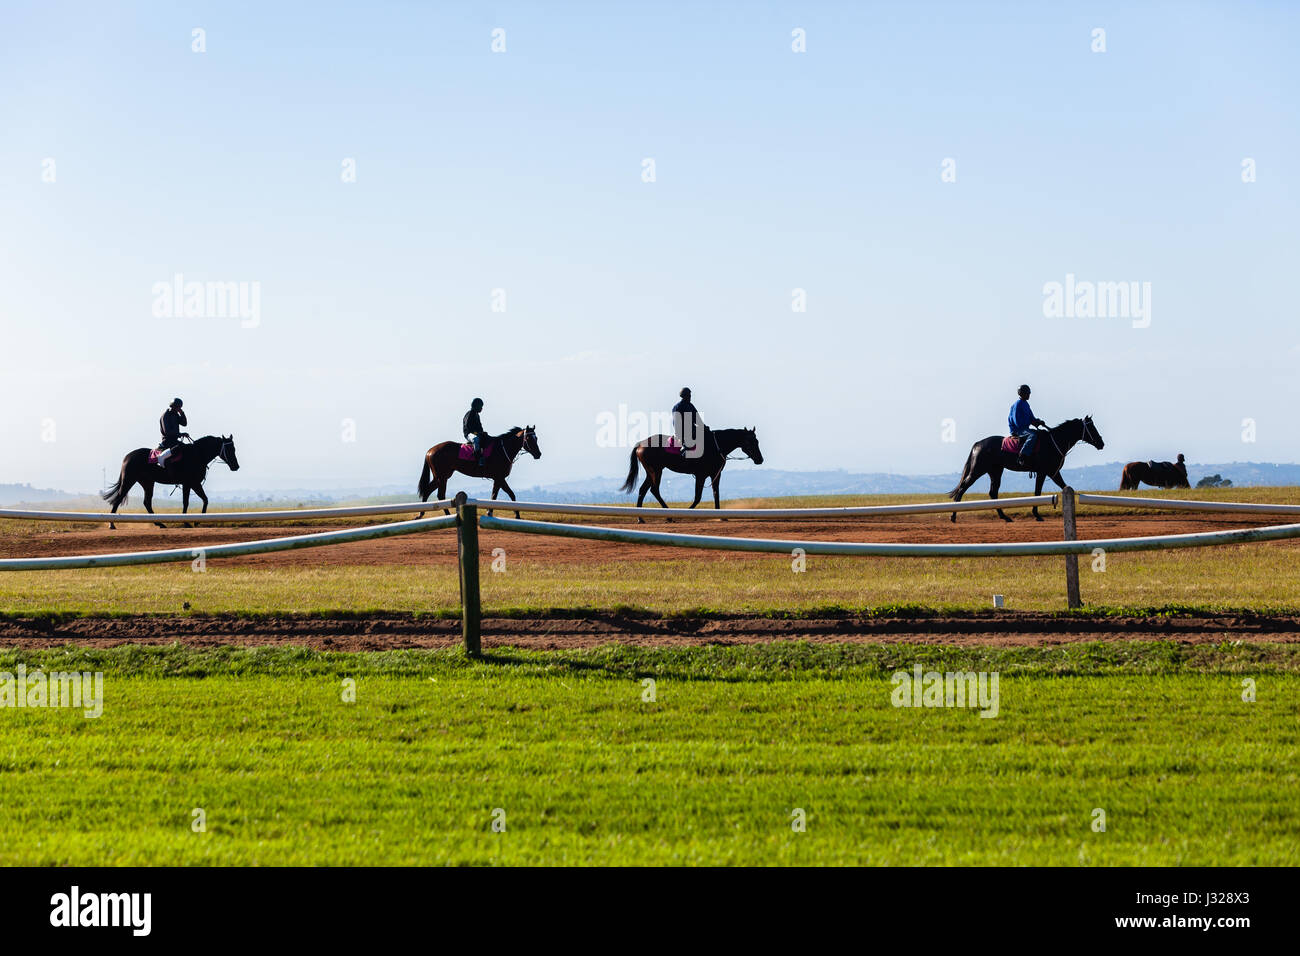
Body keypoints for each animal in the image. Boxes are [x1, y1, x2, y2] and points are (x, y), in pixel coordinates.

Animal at [101, 435, 240, 529]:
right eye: (229, 449)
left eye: (234, 448)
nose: (236, 466)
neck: (198, 454)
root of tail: (127, 456)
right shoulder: (191, 483)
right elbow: (187, 502)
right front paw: (188, 522)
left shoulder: (193, 484)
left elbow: (204, 500)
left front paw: (196, 521)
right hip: (129, 480)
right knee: (119, 498)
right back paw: (111, 524)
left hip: (147, 482)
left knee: (147, 502)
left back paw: (160, 523)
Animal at [619, 427, 764, 522]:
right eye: (750, 441)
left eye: (757, 441)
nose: (760, 459)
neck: (715, 446)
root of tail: (641, 444)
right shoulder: (701, 475)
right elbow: (698, 497)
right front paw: (688, 512)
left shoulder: (715, 474)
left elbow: (716, 494)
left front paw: (721, 516)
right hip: (656, 471)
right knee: (654, 490)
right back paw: (668, 516)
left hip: (651, 472)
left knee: (643, 490)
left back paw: (640, 517)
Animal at [948, 417, 1104, 522]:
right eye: (1091, 428)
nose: (1101, 443)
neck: (1054, 442)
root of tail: (978, 444)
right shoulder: (1045, 472)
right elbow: (1038, 492)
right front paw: (1037, 514)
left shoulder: (1053, 473)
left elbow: (1063, 486)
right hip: (977, 470)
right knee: (963, 488)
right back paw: (953, 515)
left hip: (995, 471)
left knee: (993, 493)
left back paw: (1004, 517)